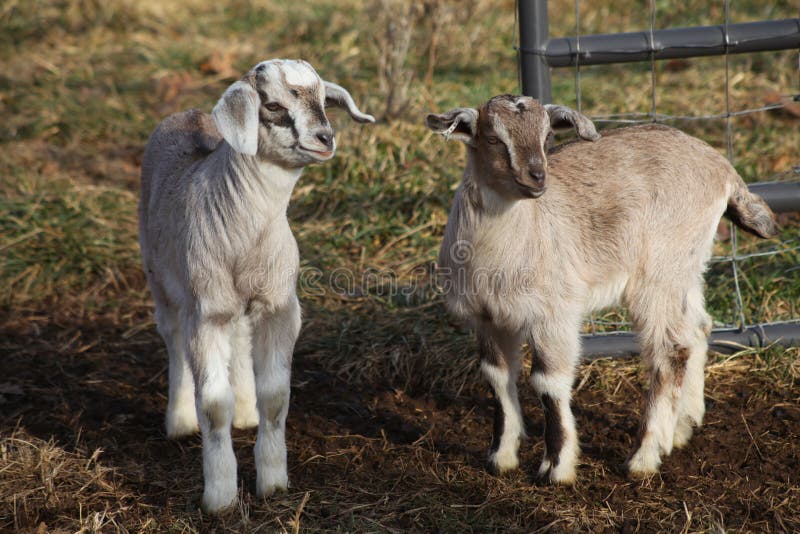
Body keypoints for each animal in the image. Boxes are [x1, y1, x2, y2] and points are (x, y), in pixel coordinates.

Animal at [139, 59, 374, 512]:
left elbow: (276, 397)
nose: (325, 138)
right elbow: (214, 406)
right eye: (275, 106)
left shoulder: (280, 307)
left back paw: (245, 413)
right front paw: (220, 496)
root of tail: (187, 113)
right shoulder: (206, 311)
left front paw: (274, 482)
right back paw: (180, 420)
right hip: (161, 279)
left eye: (325, 101)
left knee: (240, 338)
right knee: (174, 340)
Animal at [426, 94, 777, 483]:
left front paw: (556, 467)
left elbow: (547, 384)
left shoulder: (553, 315)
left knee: (670, 350)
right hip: (686, 265)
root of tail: (724, 169)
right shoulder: (486, 317)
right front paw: (500, 458)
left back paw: (644, 457)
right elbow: (497, 378)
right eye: (493, 139)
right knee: (697, 328)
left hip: (658, 271)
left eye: (547, 135)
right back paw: (682, 427)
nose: (537, 177)